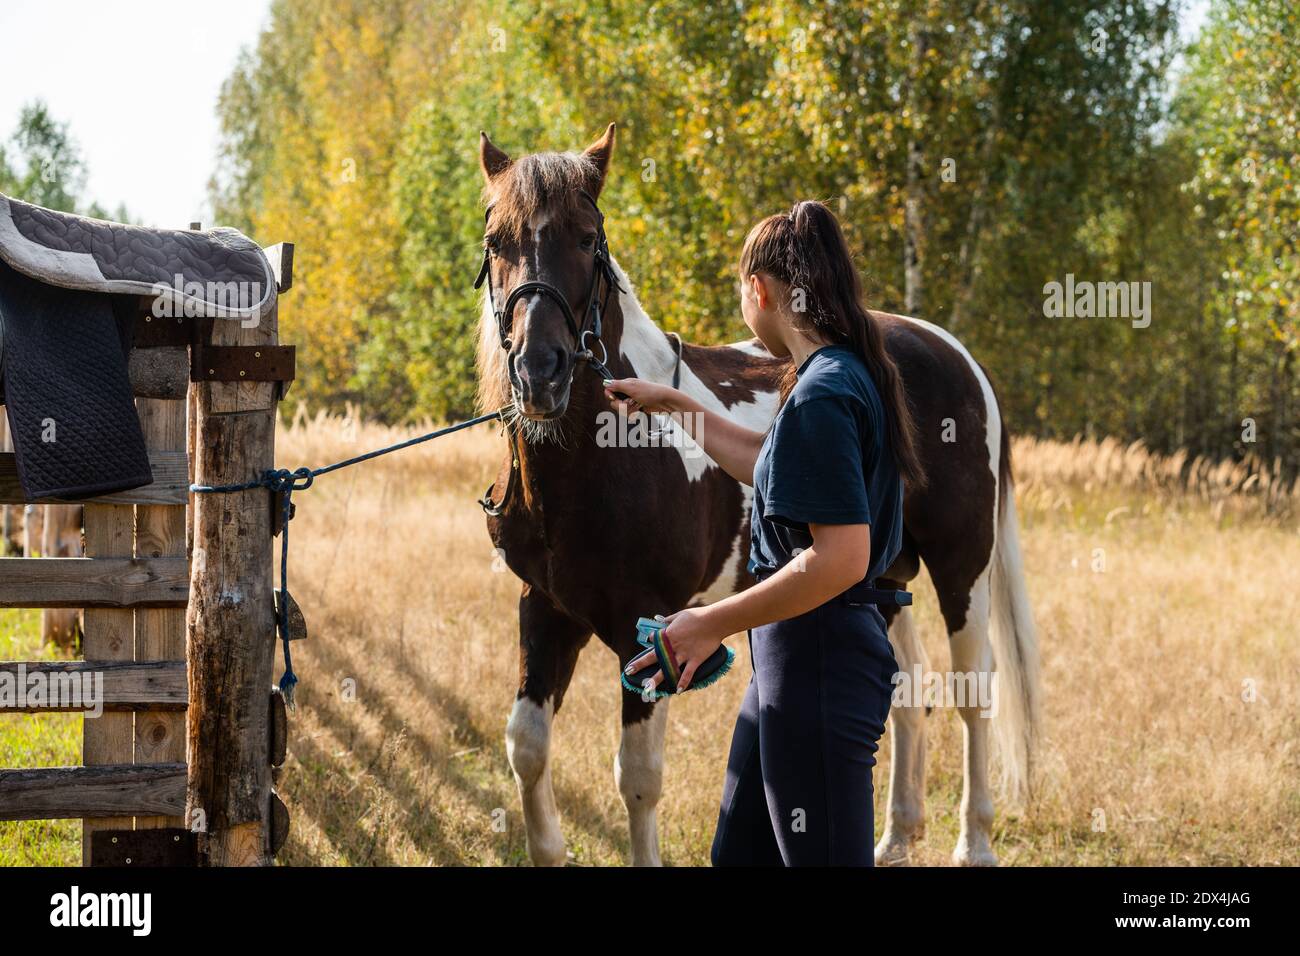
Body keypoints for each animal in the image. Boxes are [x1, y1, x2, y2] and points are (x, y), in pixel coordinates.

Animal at [475, 123, 1040, 866]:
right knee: (907, 688)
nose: (539, 372)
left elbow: (638, 779)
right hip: (882, 575)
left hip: (961, 566)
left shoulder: (645, 628)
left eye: (586, 236)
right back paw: (896, 835)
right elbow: (527, 748)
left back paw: (973, 842)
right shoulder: (543, 609)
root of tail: (955, 353)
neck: (605, 456)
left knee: (974, 692)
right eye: (496, 241)